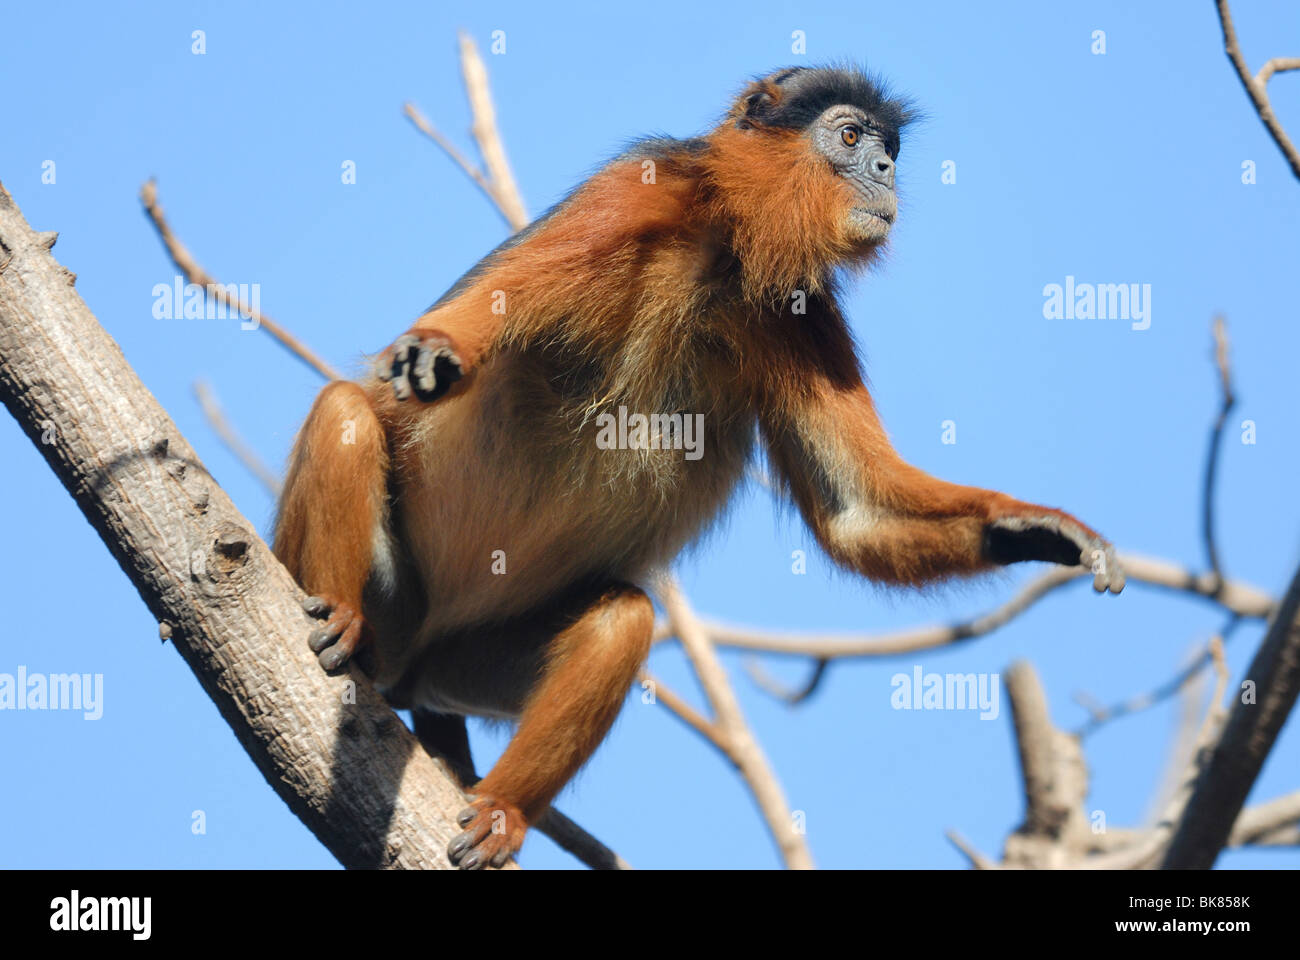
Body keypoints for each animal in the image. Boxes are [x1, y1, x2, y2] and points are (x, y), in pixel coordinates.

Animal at [273, 66, 1124, 870]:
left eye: (890, 148)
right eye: (850, 138)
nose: (886, 169)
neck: (725, 251)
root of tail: (412, 659)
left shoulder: (803, 311)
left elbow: (856, 514)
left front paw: (1031, 530)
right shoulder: (643, 184)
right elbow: (480, 314)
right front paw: (442, 343)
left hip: (461, 660)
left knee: (621, 618)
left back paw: (503, 809)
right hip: (382, 597)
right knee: (348, 412)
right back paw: (343, 619)